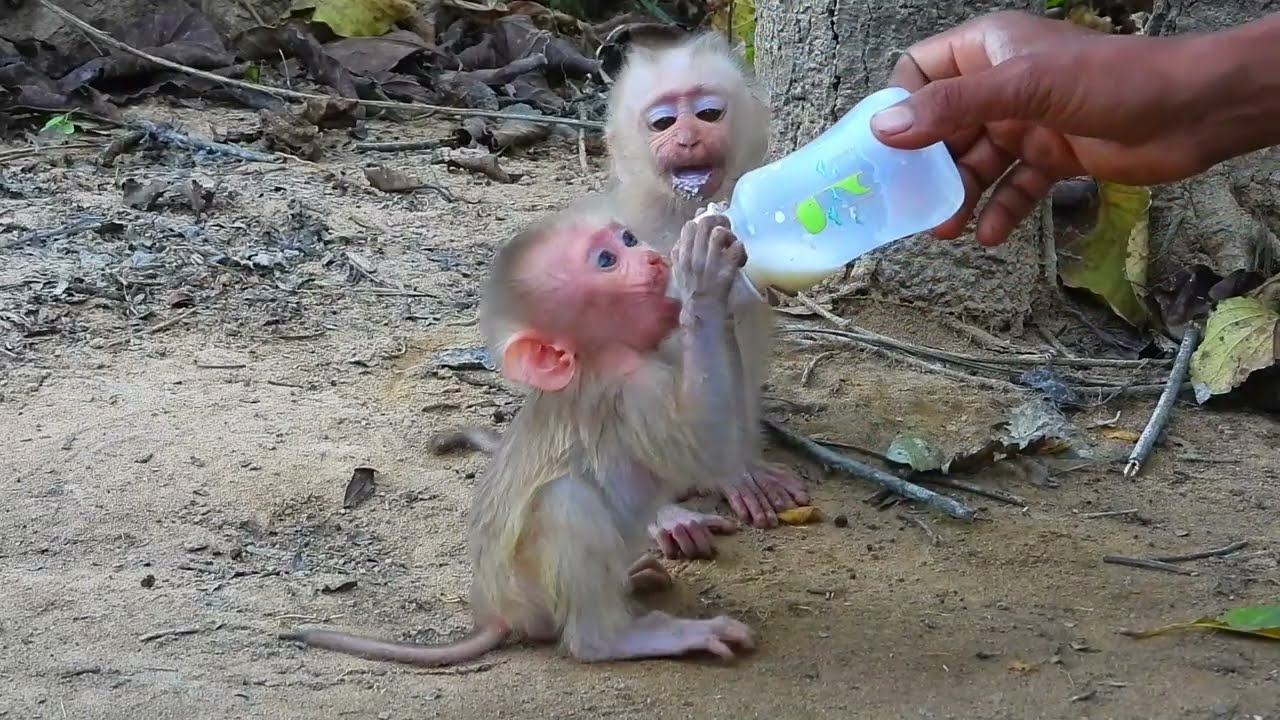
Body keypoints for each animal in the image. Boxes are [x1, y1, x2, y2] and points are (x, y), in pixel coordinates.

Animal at [280, 207, 756, 666]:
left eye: (628, 238)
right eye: (607, 261)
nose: (654, 258)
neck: (599, 353)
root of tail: (495, 612)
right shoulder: (625, 385)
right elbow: (704, 448)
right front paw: (705, 274)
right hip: (527, 589)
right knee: (566, 503)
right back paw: (616, 638)